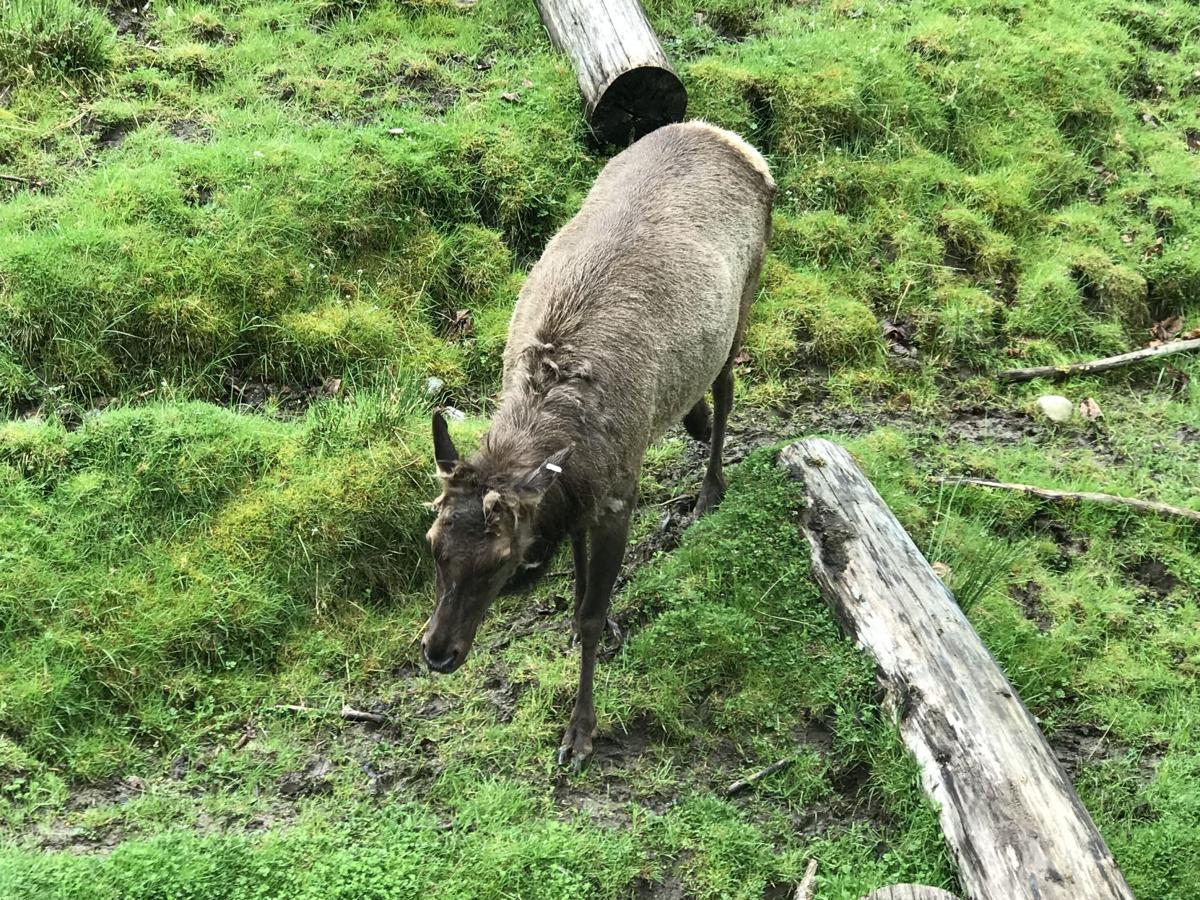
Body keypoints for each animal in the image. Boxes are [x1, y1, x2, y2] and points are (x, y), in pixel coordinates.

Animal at [422, 121, 775, 771]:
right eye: (433, 546)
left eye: (500, 560)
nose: (437, 652)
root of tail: (736, 142)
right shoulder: (578, 493)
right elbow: (580, 573)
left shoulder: (618, 496)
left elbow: (589, 618)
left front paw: (580, 732)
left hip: (746, 294)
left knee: (728, 386)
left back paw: (710, 487)